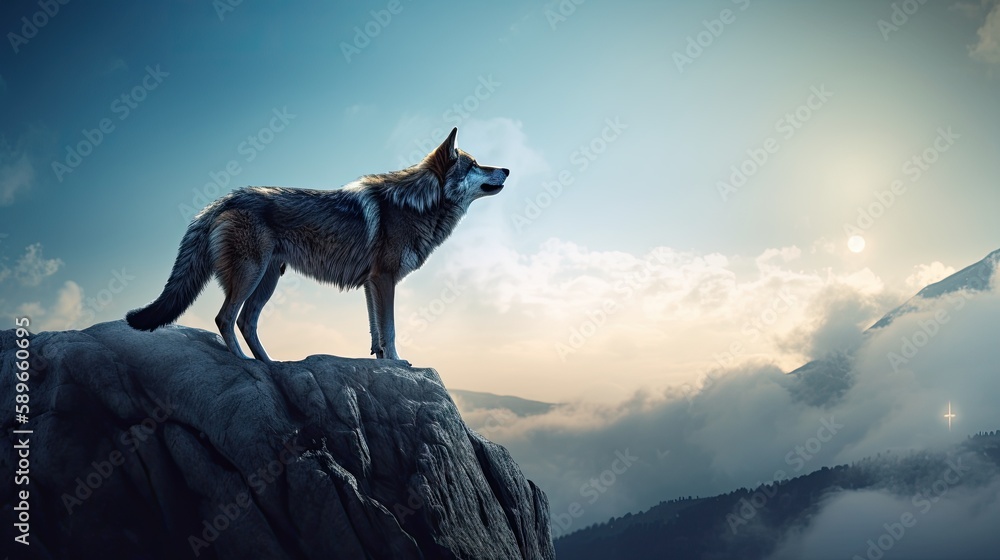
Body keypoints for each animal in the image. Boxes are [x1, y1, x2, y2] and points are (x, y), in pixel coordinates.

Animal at [126, 127, 508, 363]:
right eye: (475, 164)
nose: (505, 168)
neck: (416, 203)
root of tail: (220, 201)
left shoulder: (371, 284)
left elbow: (376, 333)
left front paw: (382, 362)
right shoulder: (384, 279)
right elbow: (391, 330)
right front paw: (400, 363)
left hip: (268, 280)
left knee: (246, 321)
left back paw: (270, 364)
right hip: (251, 275)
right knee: (224, 318)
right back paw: (243, 363)